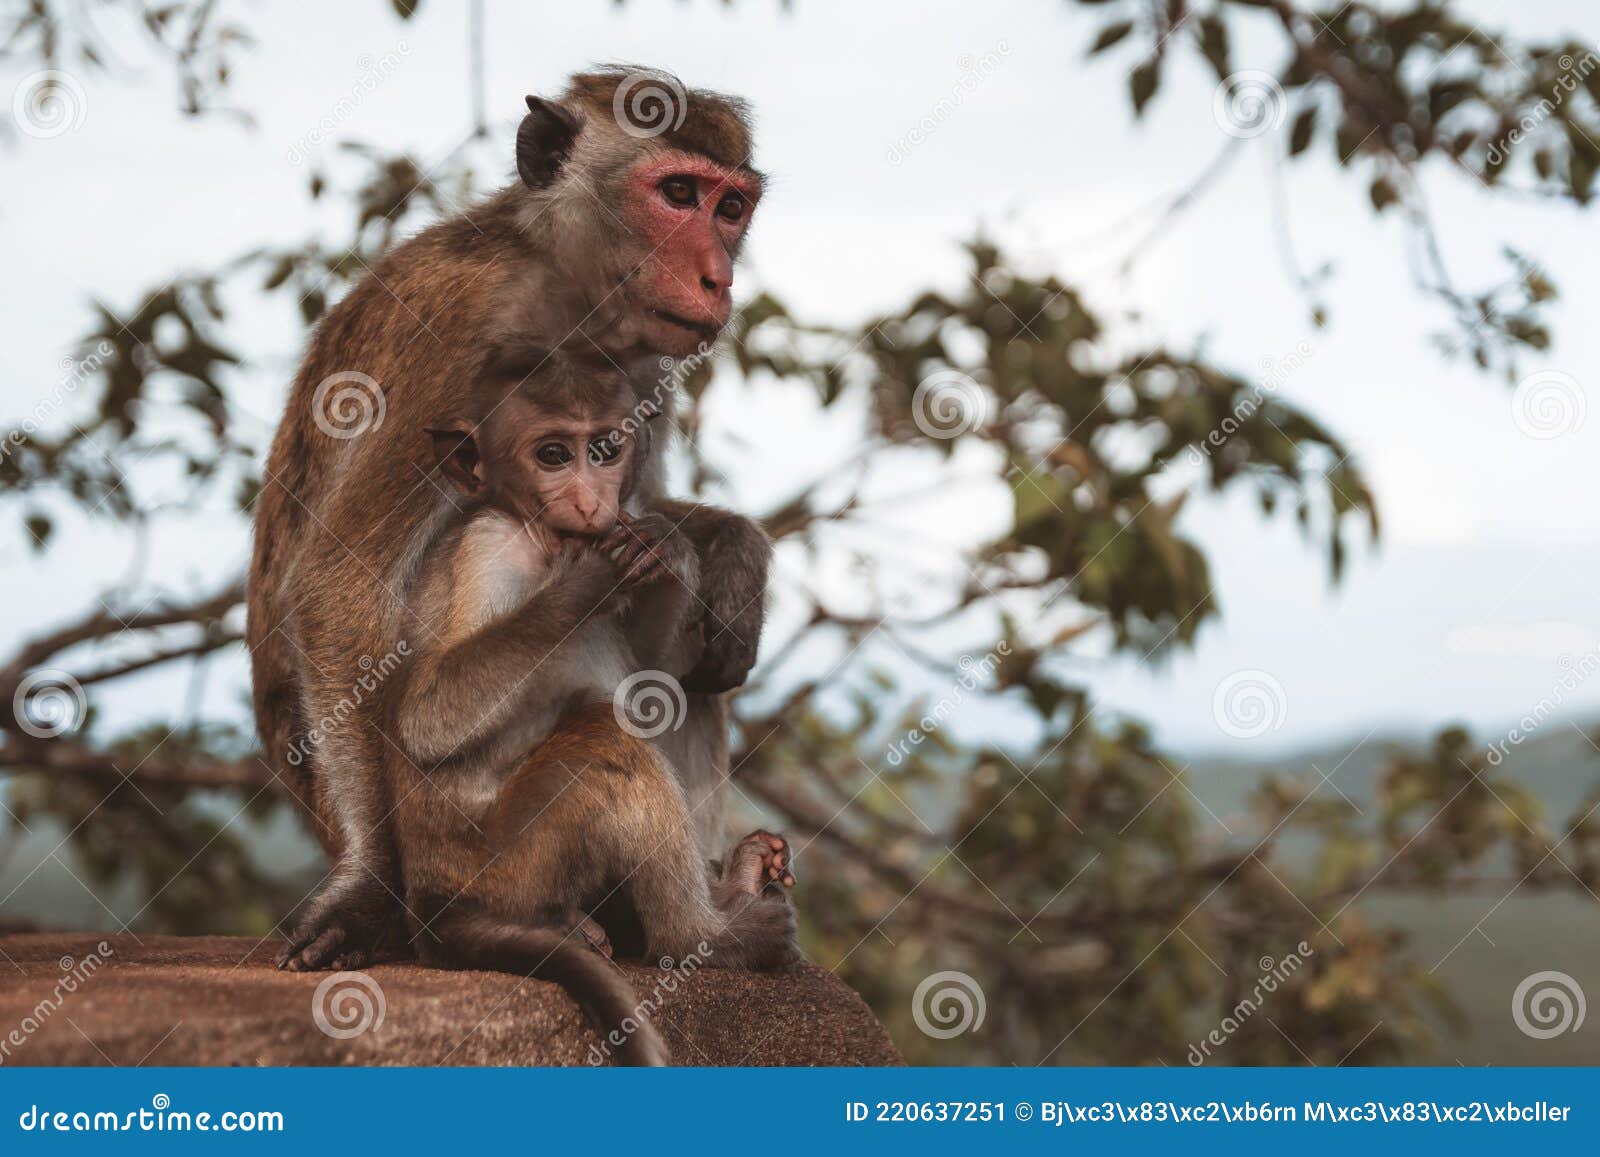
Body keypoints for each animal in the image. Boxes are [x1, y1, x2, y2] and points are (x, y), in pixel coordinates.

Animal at [246, 66, 776, 970]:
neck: (565, 287)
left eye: (730, 207)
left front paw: (736, 555)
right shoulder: (454, 328)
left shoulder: (645, 364)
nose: (717, 277)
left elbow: (641, 511)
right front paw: (366, 888)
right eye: (677, 194)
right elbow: (340, 580)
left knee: (692, 671)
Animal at [386, 359, 796, 1065]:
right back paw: (703, 937)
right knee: (608, 740)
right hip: (509, 861)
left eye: (604, 449)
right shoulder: (489, 548)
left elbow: (660, 674)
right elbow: (431, 720)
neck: (544, 538)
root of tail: (433, 907)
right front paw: (590, 576)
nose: (589, 501)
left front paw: (677, 552)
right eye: (553, 455)